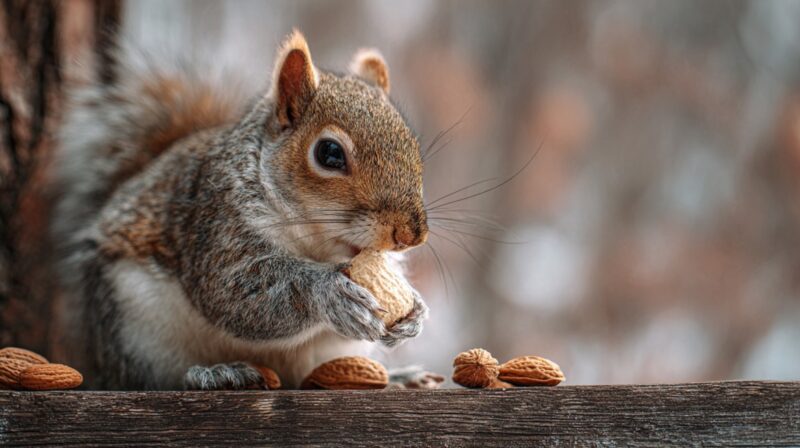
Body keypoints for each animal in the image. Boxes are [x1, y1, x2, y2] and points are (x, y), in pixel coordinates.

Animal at [52, 30, 431, 390]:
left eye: (412, 144)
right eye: (329, 153)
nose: (410, 235)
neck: (315, 243)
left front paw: (415, 314)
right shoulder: (216, 225)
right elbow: (236, 292)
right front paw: (329, 292)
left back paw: (398, 377)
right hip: (137, 330)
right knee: (150, 380)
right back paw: (216, 373)